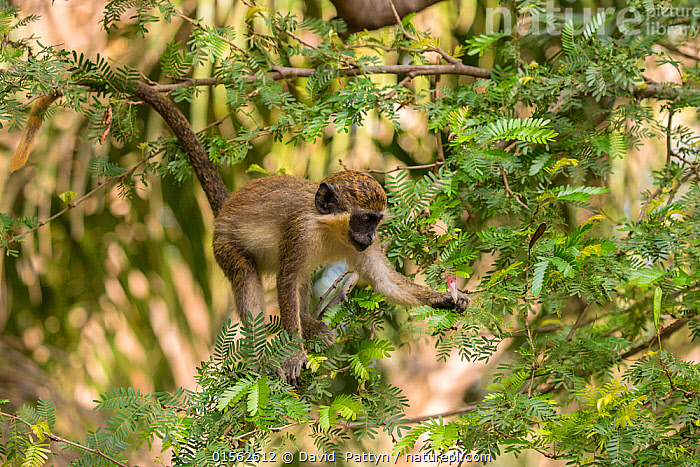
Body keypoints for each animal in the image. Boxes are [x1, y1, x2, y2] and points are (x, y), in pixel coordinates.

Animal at [132, 84, 470, 385]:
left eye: (375, 222)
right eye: (363, 220)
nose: (370, 237)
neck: (331, 231)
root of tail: (225, 209)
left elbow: (384, 281)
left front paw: (445, 298)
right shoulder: (301, 232)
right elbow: (287, 281)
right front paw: (293, 355)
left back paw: (308, 324)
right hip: (224, 245)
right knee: (247, 278)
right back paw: (265, 357)